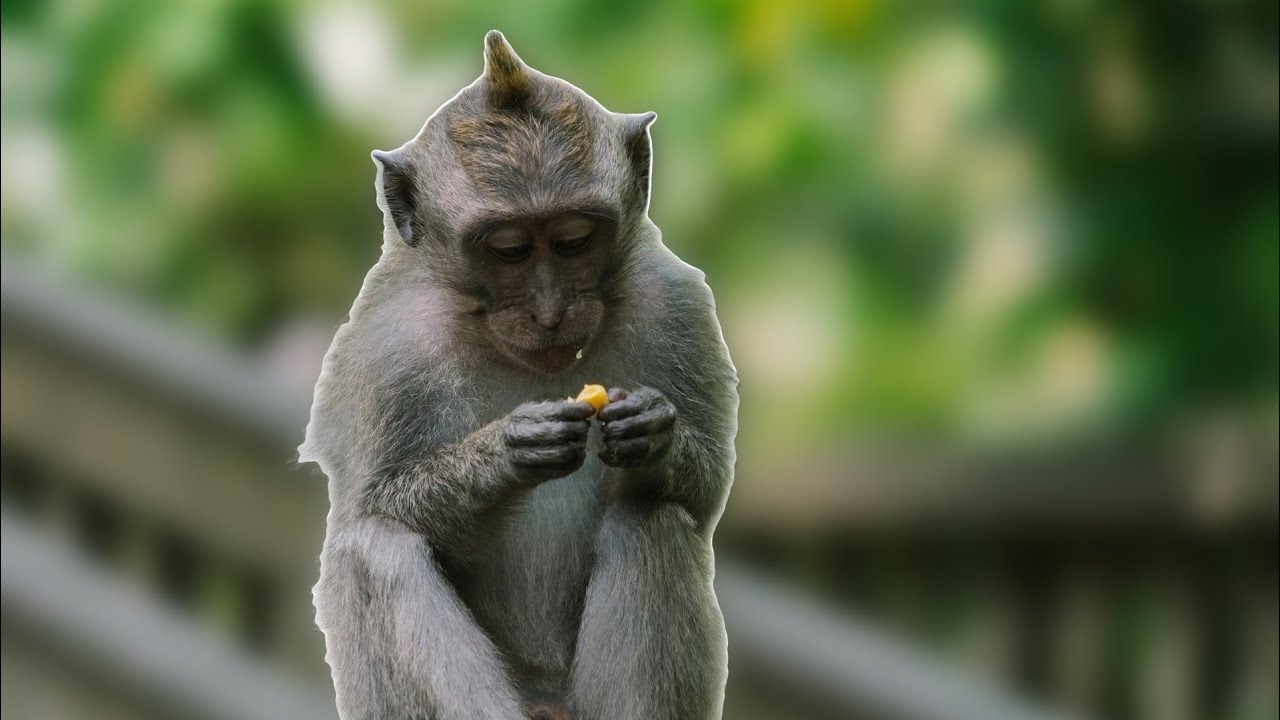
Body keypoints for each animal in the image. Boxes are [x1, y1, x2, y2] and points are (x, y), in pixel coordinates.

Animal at [299, 31, 738, 720]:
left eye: (574, 239)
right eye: (507, 250)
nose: (549, 310)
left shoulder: (677, 303)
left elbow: (704, 494)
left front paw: (653, 432)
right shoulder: (385, 354)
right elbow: (373, 507)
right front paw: (508, 448)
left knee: (653, 519)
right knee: (371, 550)